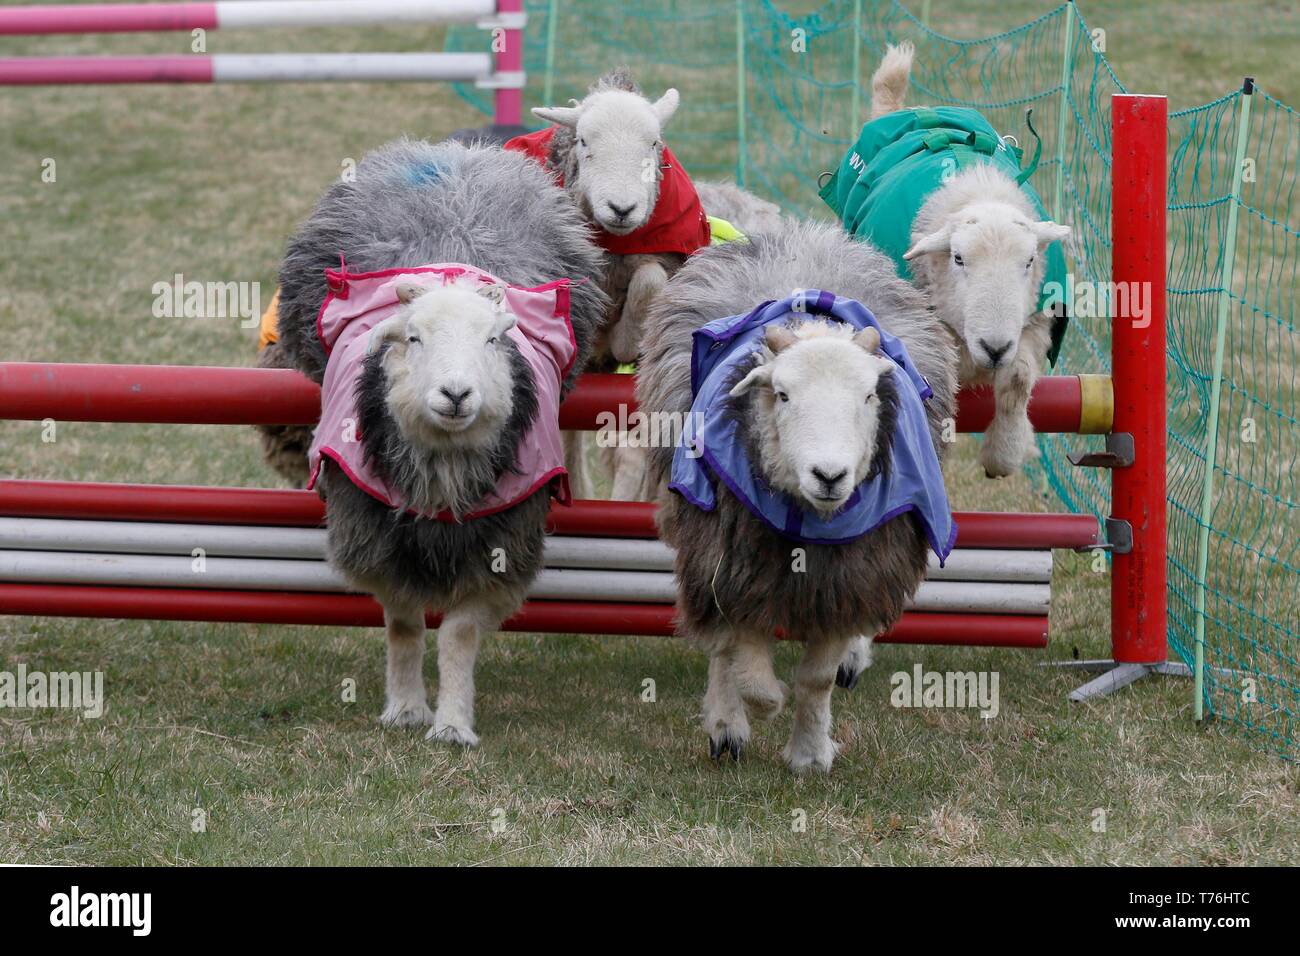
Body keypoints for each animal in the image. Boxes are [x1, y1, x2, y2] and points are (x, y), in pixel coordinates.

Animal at [275, 139, 607, 745]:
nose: (456, 393)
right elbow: (404, 624)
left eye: (494, 340)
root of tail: (454, 152)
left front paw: (453, 725)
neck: (444, 472)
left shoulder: (505, 541)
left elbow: (458, 634)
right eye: (413, 337)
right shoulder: (372, 532)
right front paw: (406, 709)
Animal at [637, 220, 959, 773]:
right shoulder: (734, 562)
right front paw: (757, 708)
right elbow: (743, 657)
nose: (829, 475)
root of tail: (800, 234)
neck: (808, 522)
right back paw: (726, 727)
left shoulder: (850, 574)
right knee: (719, 642)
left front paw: (810, 752)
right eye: (782, 394)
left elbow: (817, 677)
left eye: (869, 396)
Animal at [826, 42, 1071, 478]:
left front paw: (1005, 453)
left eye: (1029, 261)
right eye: (957, 258)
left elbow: (1018, 380)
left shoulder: (1038, 317)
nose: (994, 347)